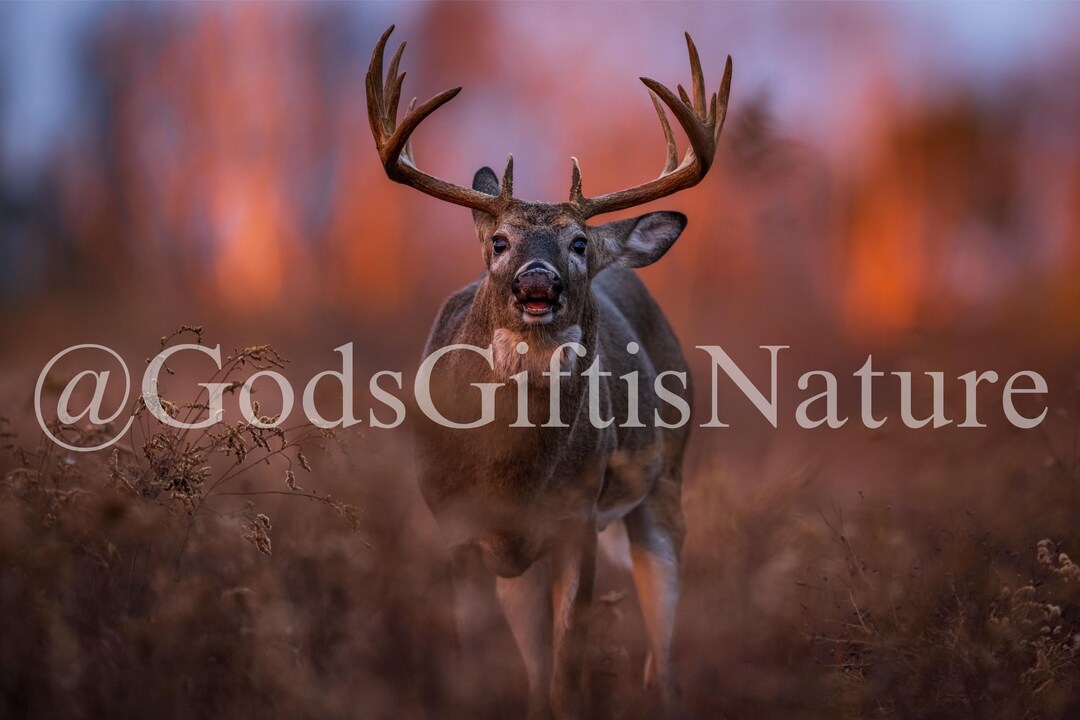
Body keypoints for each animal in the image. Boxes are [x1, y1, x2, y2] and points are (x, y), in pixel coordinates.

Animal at [366, 25, 731, 720]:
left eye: (578, 243)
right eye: (499, 242)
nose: (539, 282)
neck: (508, 478)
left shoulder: (576, 521)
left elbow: (568, 682)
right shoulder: (453, 526)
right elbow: (489, 672)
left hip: (666, 485)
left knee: (662, 662)